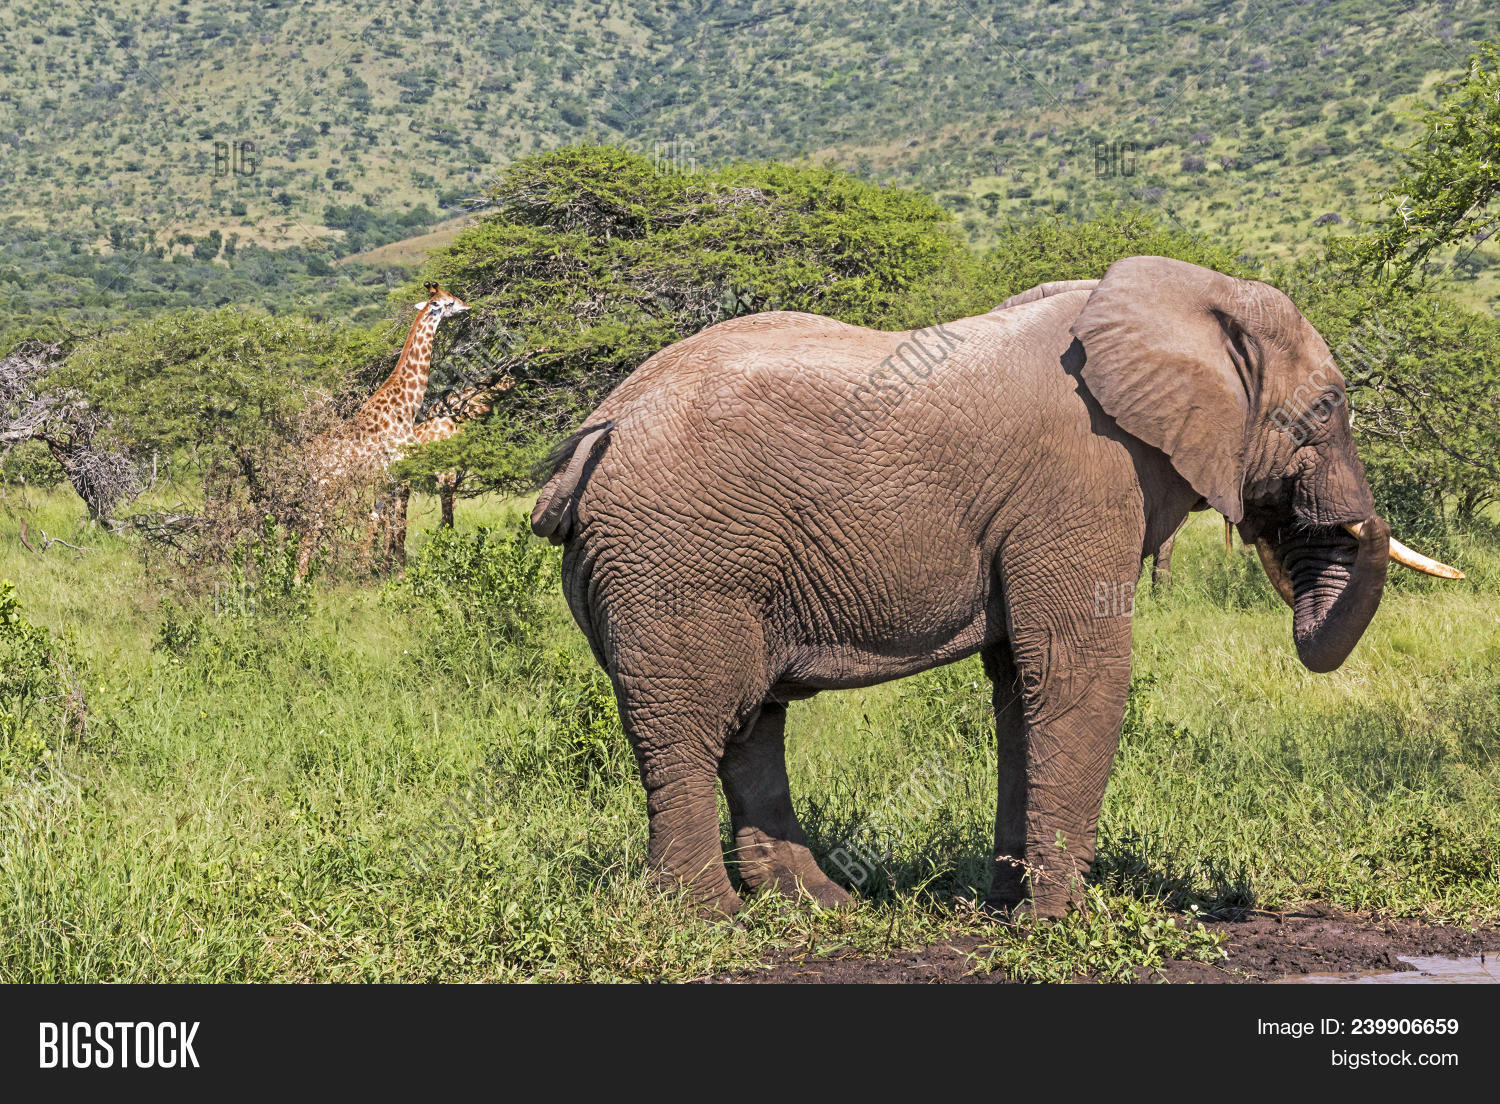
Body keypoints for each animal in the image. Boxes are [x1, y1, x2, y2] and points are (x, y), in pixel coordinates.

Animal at [296, 282, 470, 575]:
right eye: (449, 302)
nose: (467, 306)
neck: (408, 405)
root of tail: (308, 460)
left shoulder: (387, 477)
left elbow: (381, 518)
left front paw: (373, 570)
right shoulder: (400, 471)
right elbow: (398, 524)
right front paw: (399, 572)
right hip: (327, 489)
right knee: (311, 529)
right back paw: (299, 580)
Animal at [530, 256, 1462, 918]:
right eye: (1331, 405)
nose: (1365, 520)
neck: (1184, 297)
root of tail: (596, 430)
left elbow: (1022, 684)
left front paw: (1010, 905)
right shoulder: (1083, 477)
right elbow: (1079, 672)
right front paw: (1060, 920)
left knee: (751, 723)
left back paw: (821, 907)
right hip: (675, 562)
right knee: (690, 723)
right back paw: (707, 919)